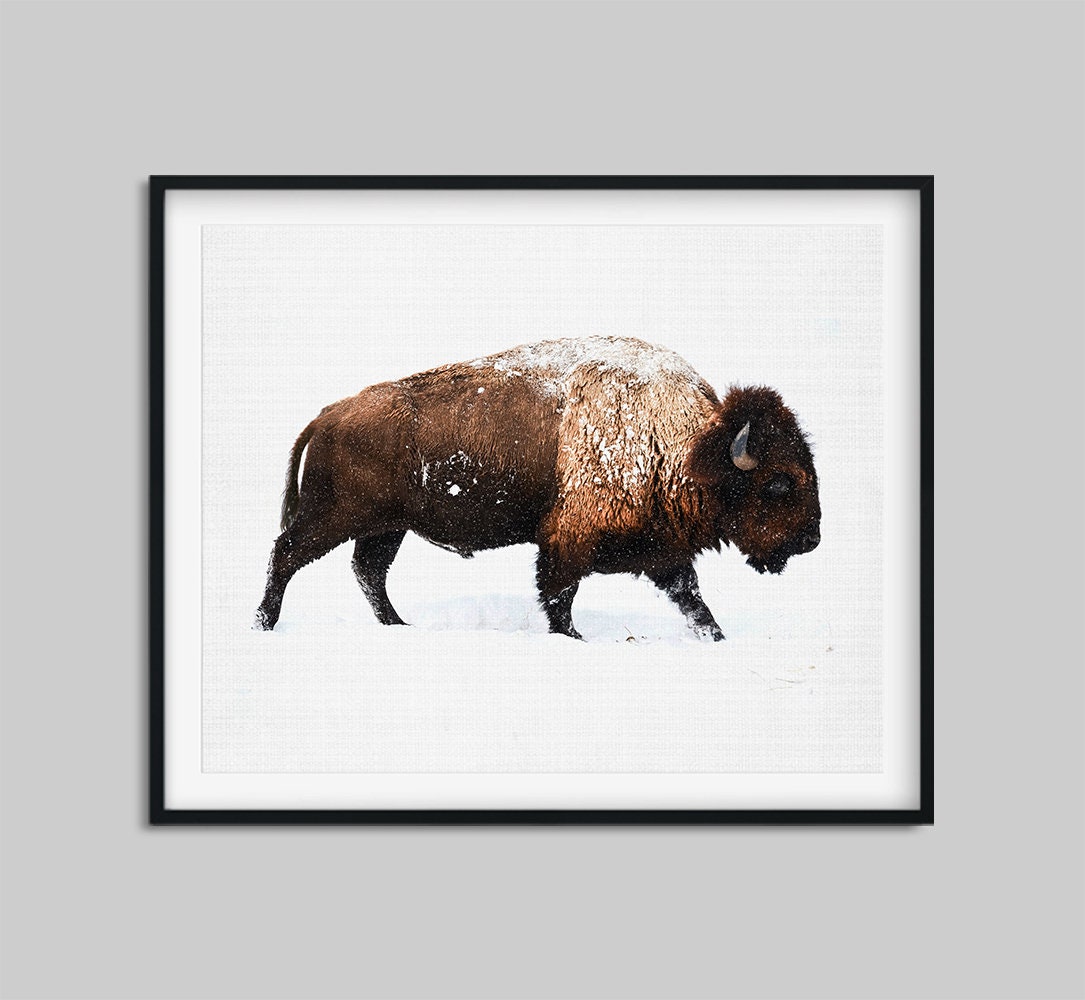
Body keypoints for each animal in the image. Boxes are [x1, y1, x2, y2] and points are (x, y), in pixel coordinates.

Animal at [255, 336, 821, 640]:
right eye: (778, 481)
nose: (811, 539)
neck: (688, 444)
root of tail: (329, 416)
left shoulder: (662, 550)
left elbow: (692, 599)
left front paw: (716, 637)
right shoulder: (567, 542)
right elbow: (560, 596)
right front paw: (573, 637)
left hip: (387, 527)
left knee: (368, 571)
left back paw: (399, 625)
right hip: (335, 518)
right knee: (286, 555)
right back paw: (266, 623)